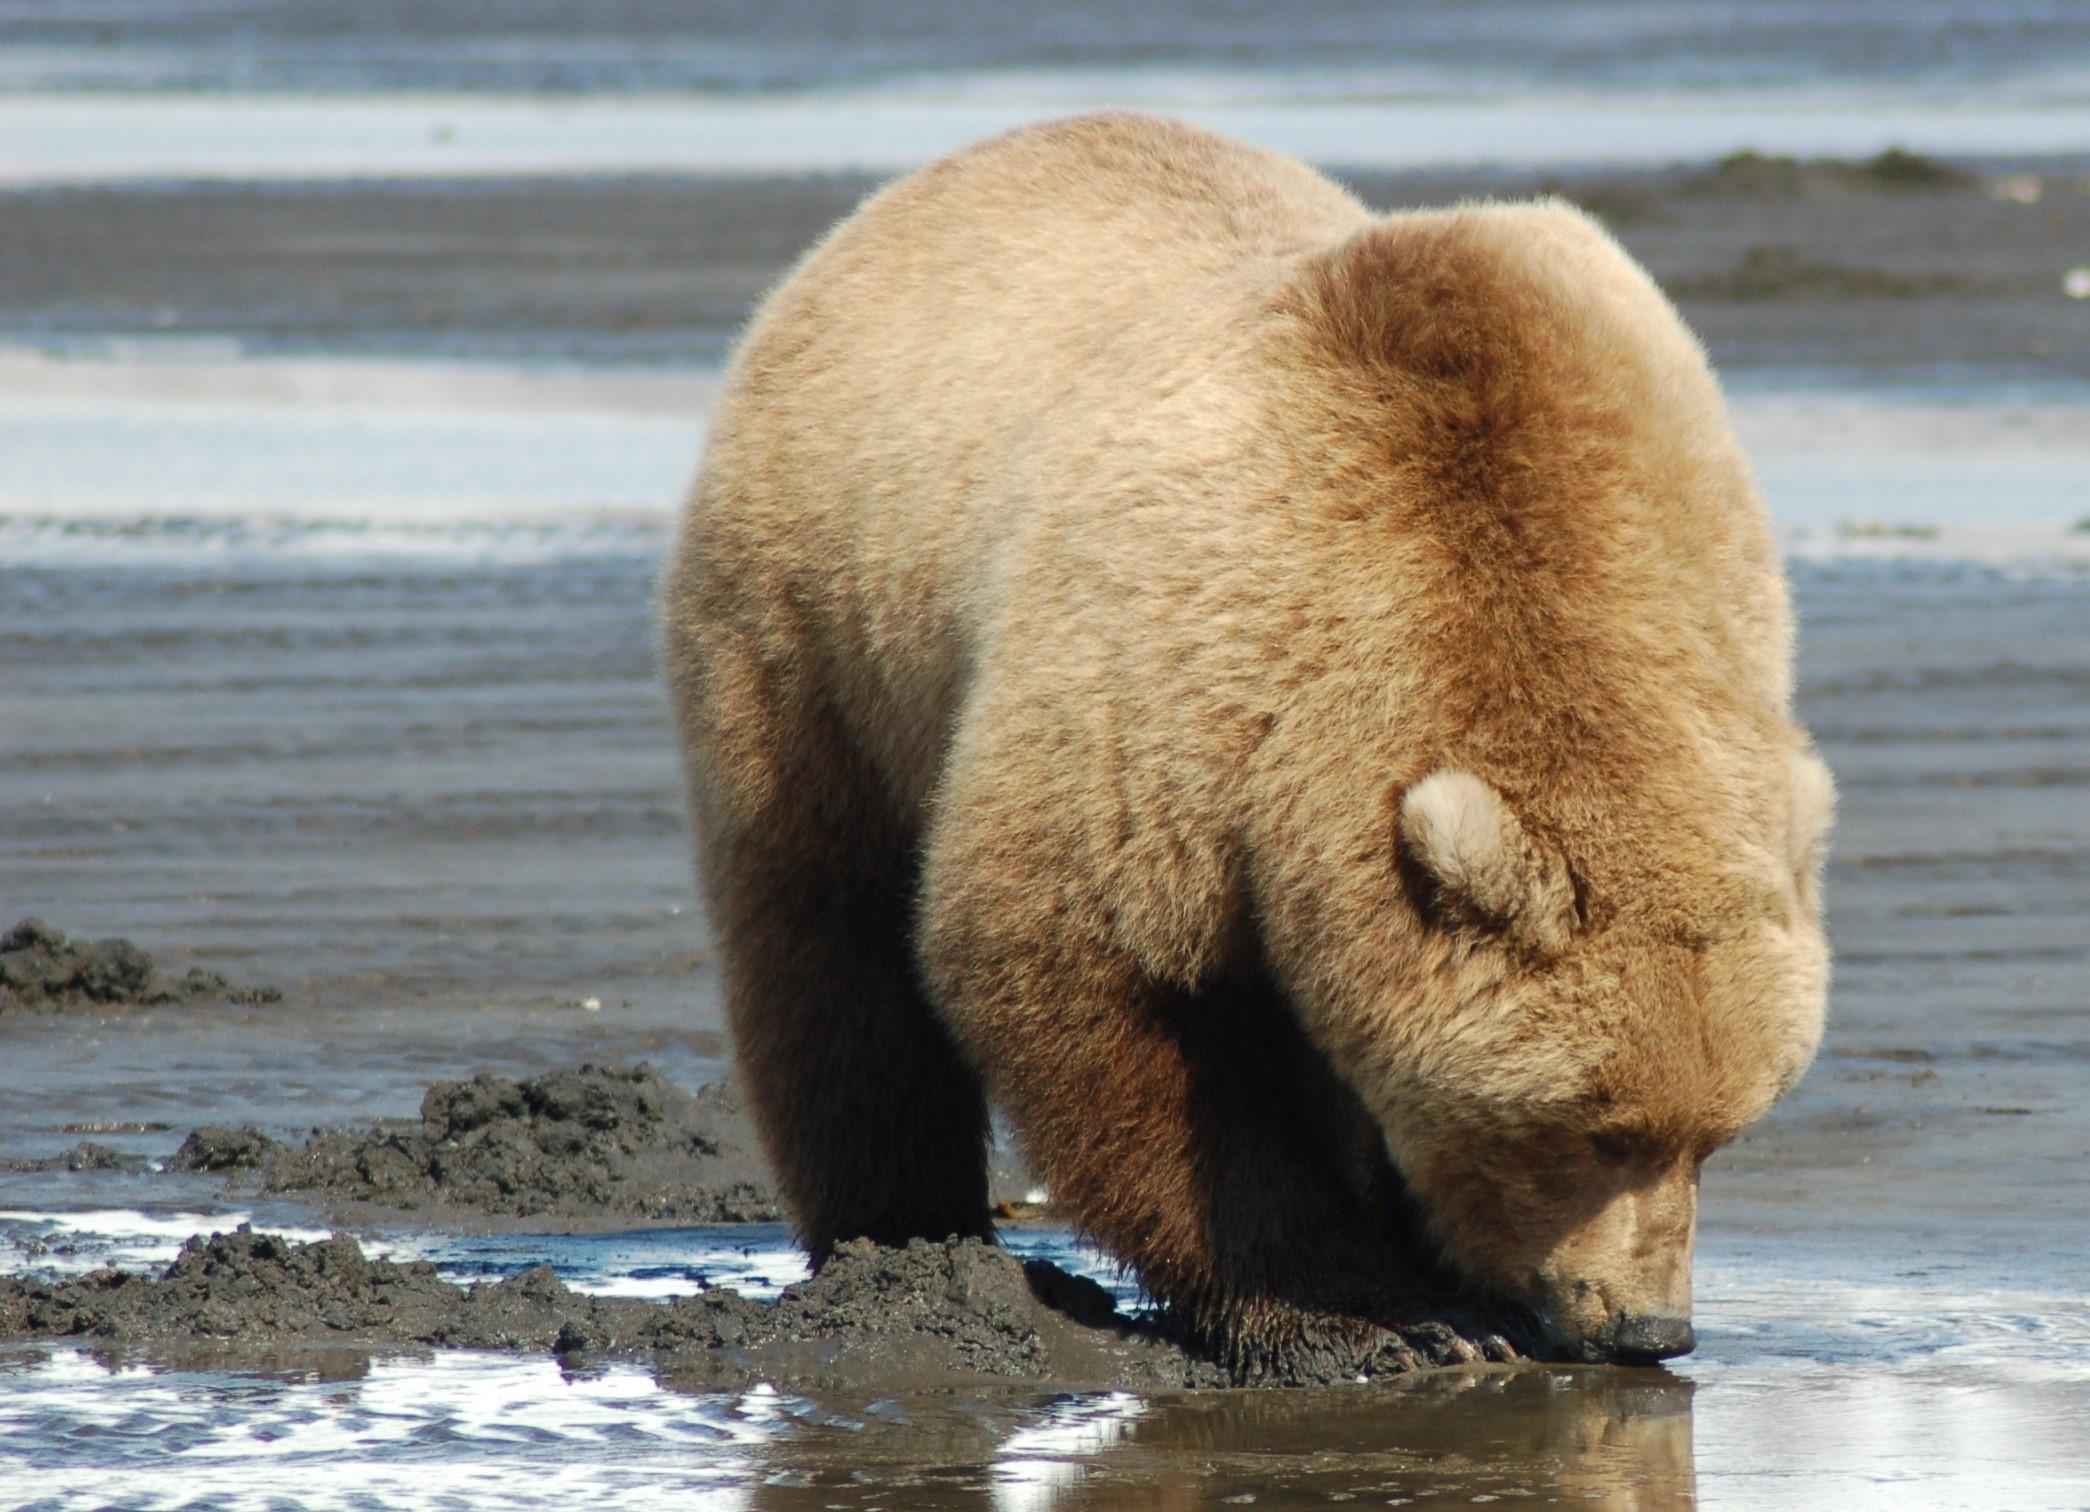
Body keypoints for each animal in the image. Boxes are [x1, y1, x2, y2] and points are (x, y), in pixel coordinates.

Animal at [662, 113, 1834, 1381]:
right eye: (1591, 1130)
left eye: (1718, 1134)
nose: (1647, 1326)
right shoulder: (1175, 672)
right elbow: (1083, 969)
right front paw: (1378, 1313)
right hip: (817, 627)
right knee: (833, 949)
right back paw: (902, 1235)